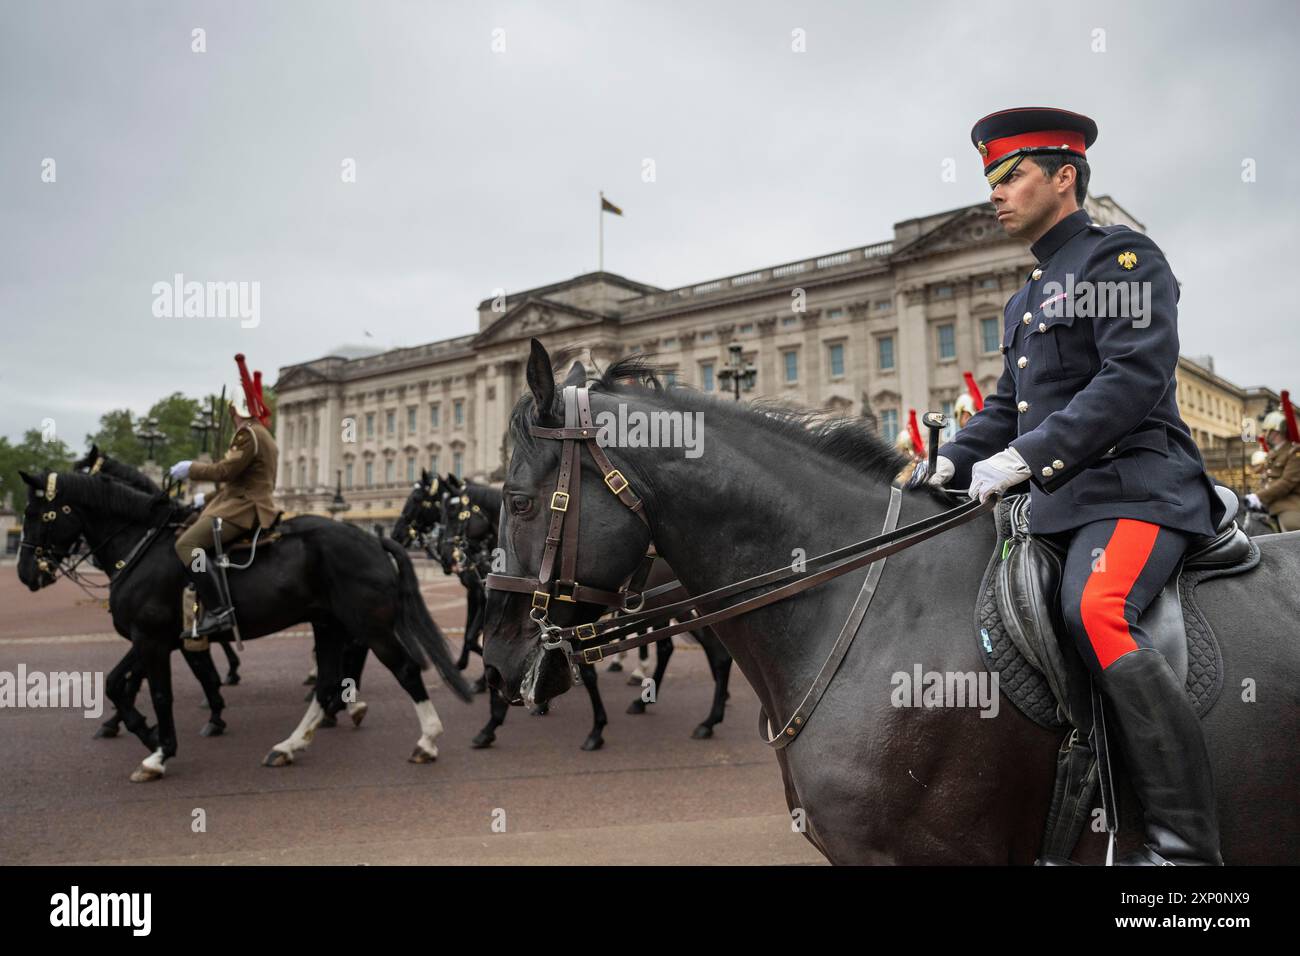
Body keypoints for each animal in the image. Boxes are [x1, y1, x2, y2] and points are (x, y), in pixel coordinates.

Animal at [17, 469, 473, 782]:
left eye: (41, 512)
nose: (25, 574)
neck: (141, 547)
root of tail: (371, 536)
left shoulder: (153, 639)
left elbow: (160, 694)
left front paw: (160, 752)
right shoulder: (154, 639)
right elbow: (117, 683)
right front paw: (146, 732)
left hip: (370, 625)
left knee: (406, 670)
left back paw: (426, 741)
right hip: (329, 623)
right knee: (327, 682)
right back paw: (290, 745)